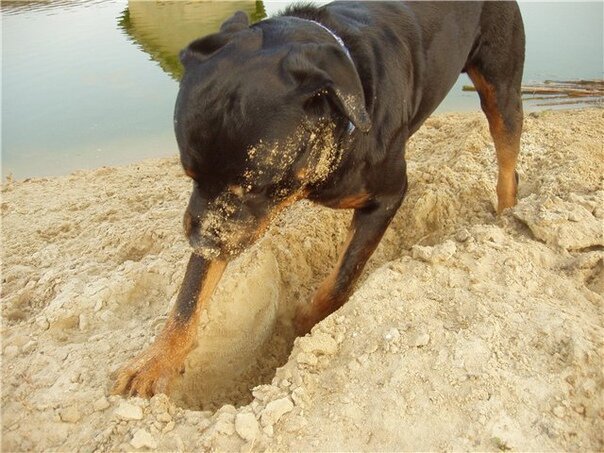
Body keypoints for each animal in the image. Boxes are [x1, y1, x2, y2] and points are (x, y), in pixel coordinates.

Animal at [112, 0, 524, 396]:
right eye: (189, 174)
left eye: (255, 183)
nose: (200, 240)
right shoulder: (216, 217)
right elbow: (190, 294)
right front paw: (156, 360)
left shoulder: (387, 197)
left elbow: (341, 279)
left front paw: (303, 322)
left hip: (500, 85)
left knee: (507, 155)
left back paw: (507, 216)